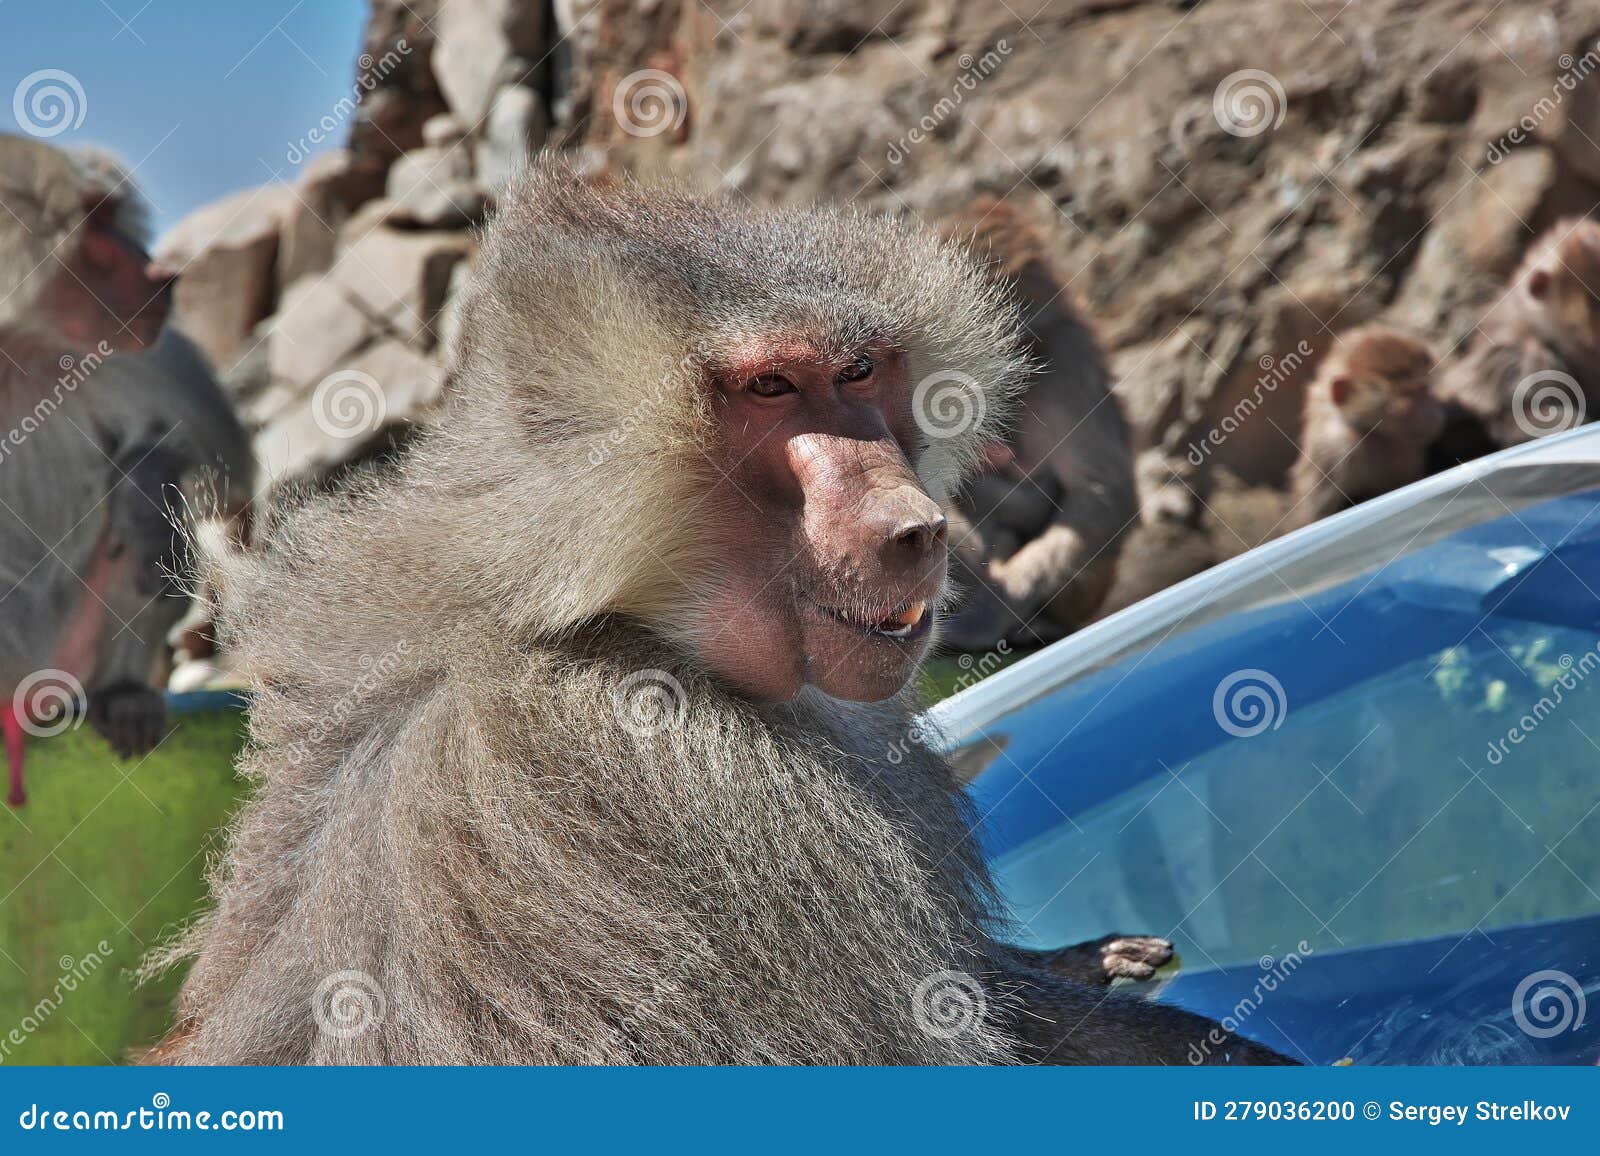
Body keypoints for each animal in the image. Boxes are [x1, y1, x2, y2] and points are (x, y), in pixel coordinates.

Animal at [0, 135, 251, 803]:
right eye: (93, 223)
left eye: (110, 214)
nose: (159, 272)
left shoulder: (129, 354)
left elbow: (206, 453)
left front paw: (143, 490)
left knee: (141, 549)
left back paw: (123, 695)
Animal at [1287, 326, 1443, 528]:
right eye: (1406, 401)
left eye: (1423, 390)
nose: (1433, 415)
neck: (1368, 432)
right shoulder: (1334, 449)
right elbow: (1314, 515)